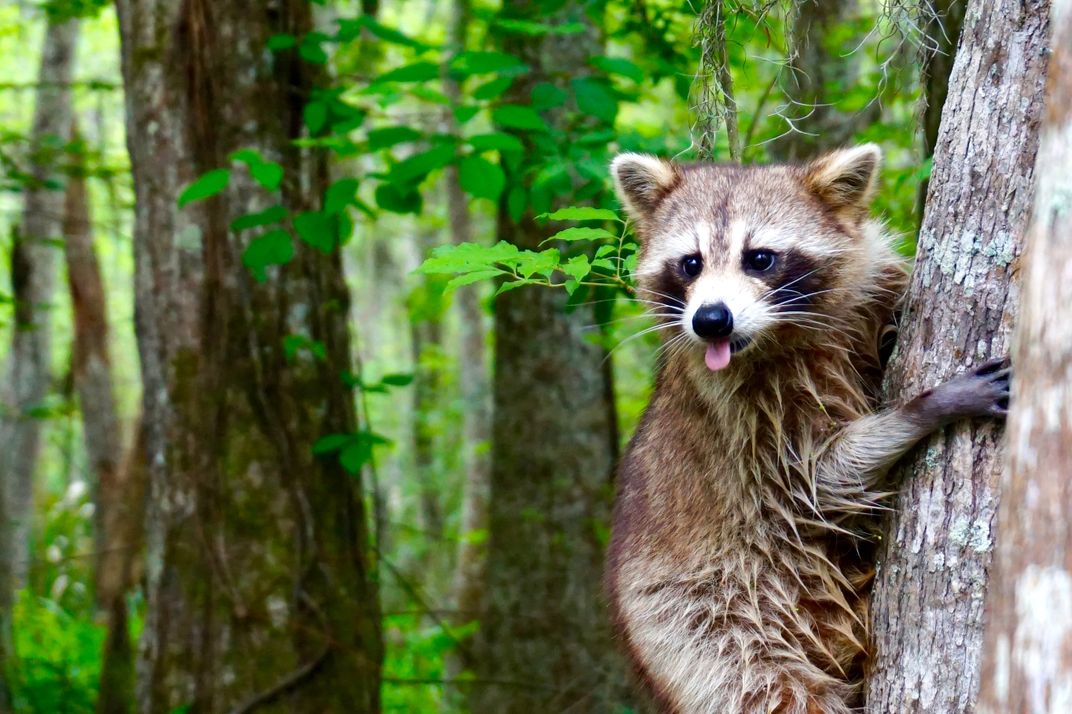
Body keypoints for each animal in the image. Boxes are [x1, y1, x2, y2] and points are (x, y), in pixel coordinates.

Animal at [604, 145, 1010, 714]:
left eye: (760, 258)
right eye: (691, 263)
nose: (711, 320)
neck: (779, 336)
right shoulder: (742, 417)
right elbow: (818, 483)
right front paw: (923, 409)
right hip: (702, 630)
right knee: (773, 687)